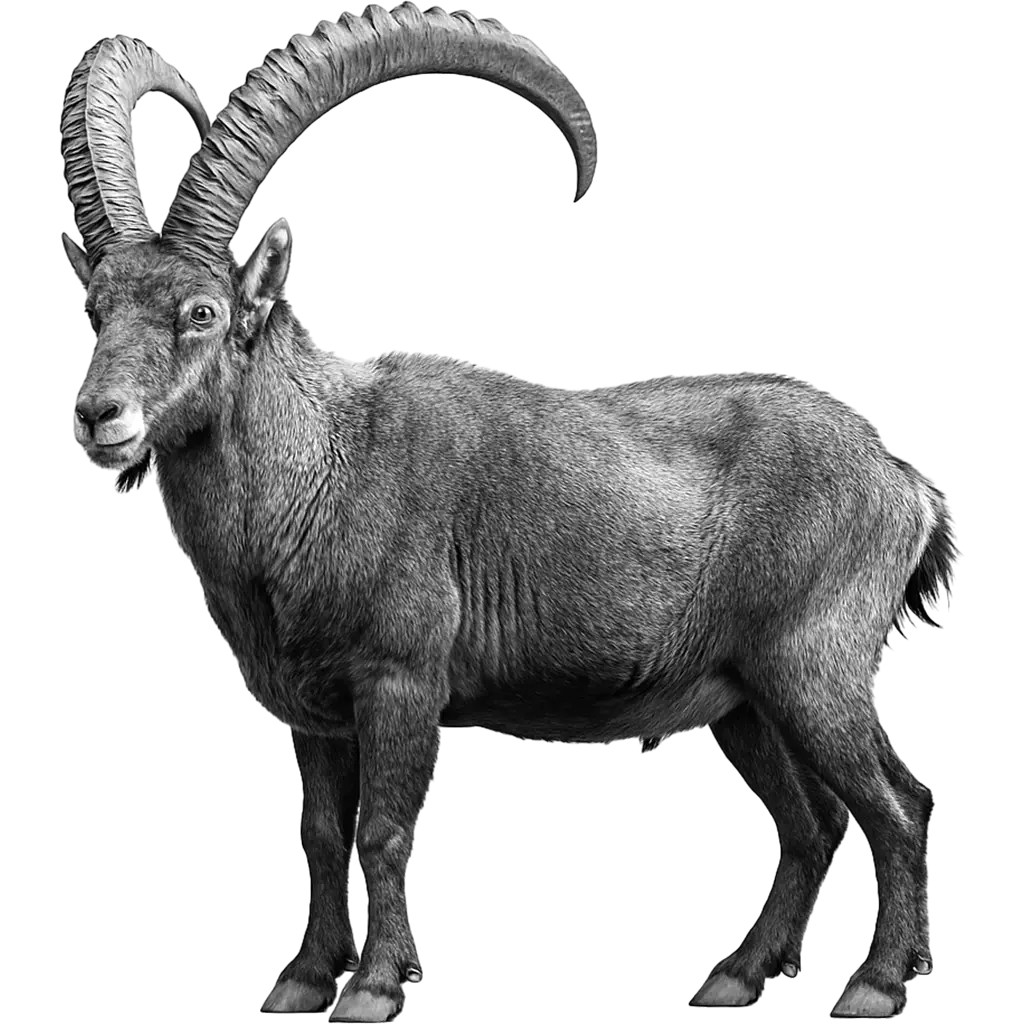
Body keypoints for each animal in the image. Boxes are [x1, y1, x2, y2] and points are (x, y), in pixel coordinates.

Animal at [62, 6, 958, 1021]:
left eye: (203, 310)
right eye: (94, 306)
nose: (97, 415)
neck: (323, 471)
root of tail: (903, 484)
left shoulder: (401, 678)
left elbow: (381, 830)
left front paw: (373, 989)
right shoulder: (314, 712)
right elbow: (321, 837)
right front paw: (300, 982)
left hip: (813, 667)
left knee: (895, 806)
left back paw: (875, 986)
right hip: (743, 698)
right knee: (812, 825)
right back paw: (734, 976)